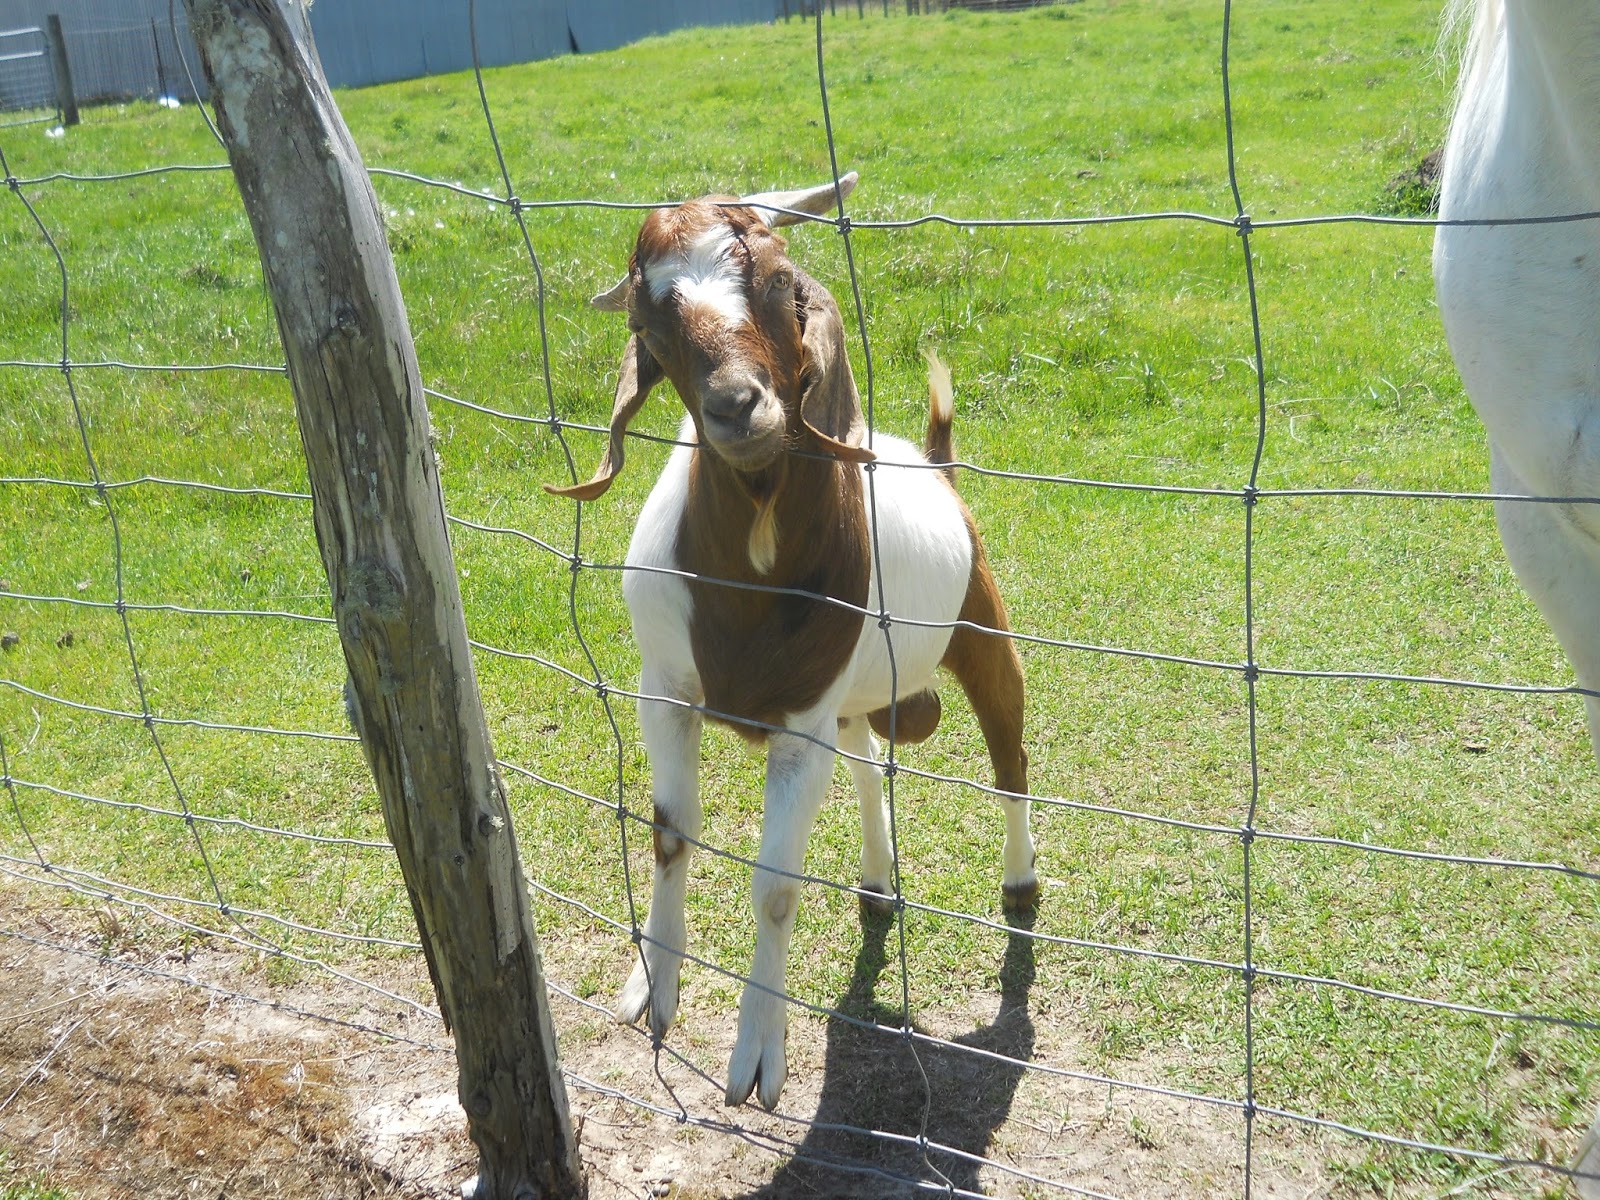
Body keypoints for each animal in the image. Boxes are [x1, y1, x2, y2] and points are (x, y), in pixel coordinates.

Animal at [547, 174, 1037, 1110]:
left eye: (779, 282)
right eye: (646, 324)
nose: (738, 406)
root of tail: (936, 467)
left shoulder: (797, 730)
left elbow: (775, 888)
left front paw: (756, 1060)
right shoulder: (667, 691)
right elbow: (670, 833)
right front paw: (653, 990)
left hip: (983, 630)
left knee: (1010, 760)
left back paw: (1021, 886)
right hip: (850, 697)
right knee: (869, 764)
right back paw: (878, 886)